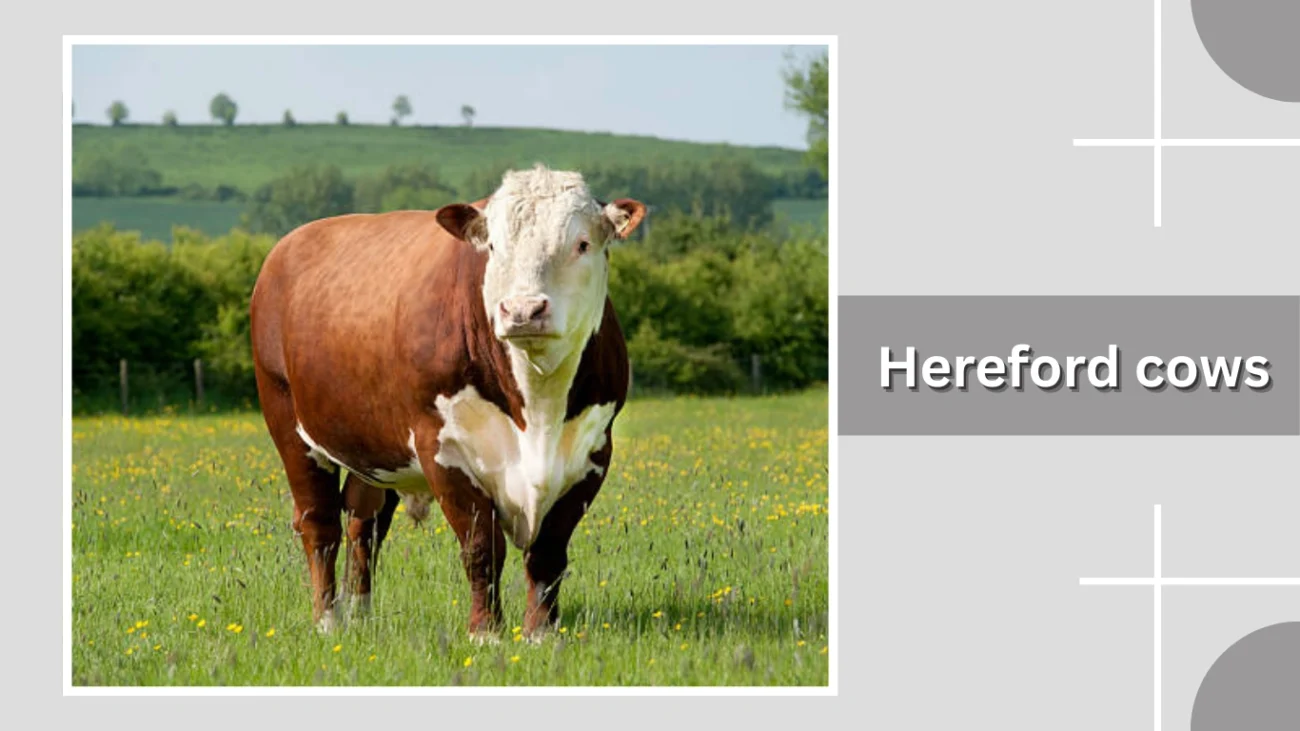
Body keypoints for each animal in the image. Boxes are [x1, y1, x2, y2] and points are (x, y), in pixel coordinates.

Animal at [249, 165, 646, 641]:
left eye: (582, 244)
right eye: (493, 246)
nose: (523, 310)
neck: (538, 408)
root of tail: (288, 245)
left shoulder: (591, 453)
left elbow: (548, 552)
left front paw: (540, 634)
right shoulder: (442, 449)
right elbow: (481, 547)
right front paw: (486, 632)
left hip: (376, 448)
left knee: (365, 523)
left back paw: (360, 613)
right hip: (288, 422)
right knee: (319, 522)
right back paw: (329, 620)